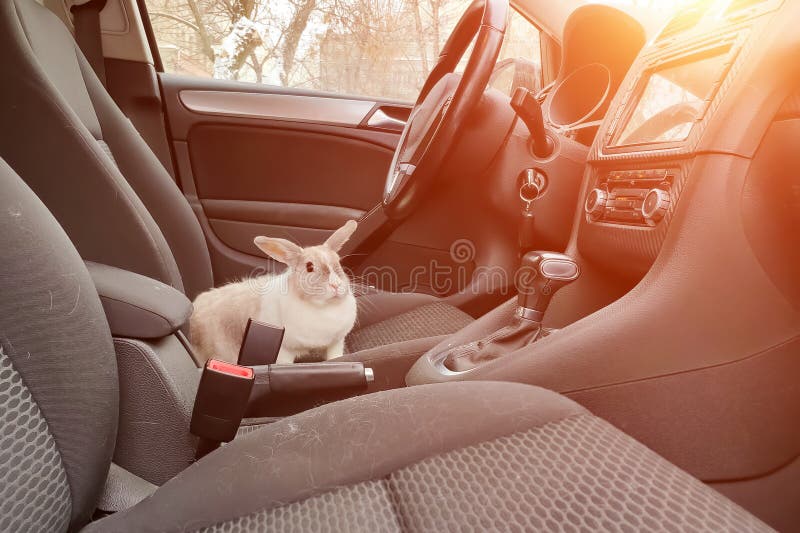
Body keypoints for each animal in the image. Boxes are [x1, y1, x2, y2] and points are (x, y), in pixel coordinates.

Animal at [190, 220, 358, 365]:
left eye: (338, 263)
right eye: (309, 267)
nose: (336, 285)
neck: (323, 307)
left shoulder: (336, 343)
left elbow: (335, 357)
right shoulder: (283, 351)